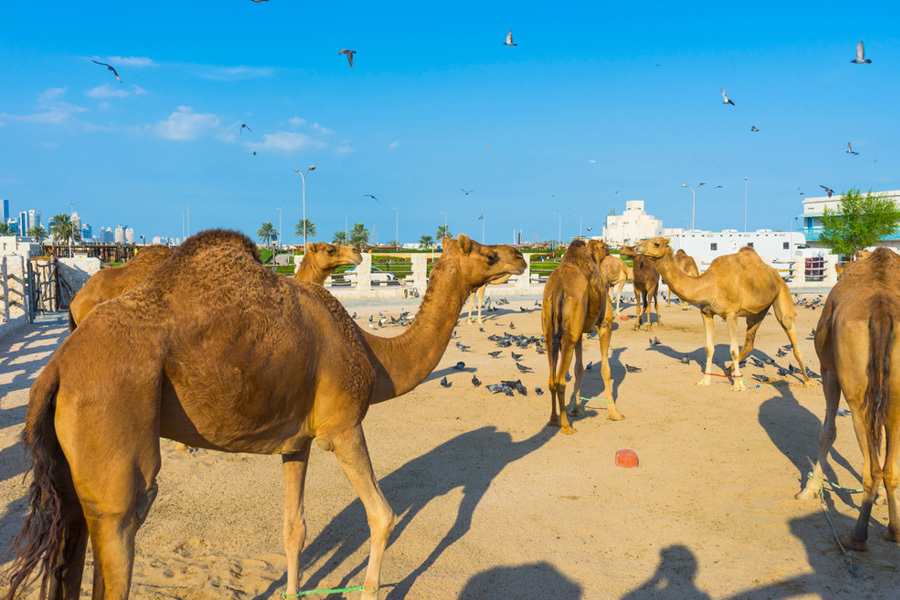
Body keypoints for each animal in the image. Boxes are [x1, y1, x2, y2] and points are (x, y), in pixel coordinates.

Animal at [4, 230, 526, 600]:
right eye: (485, 253)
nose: (521, 256)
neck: (374, 357)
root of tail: (57, 368)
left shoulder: (296, 441)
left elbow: (295, 528)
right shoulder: (342, 426)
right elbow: (383, 515)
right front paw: (371, 588)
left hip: (67, 466)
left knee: (68, 538)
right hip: (114, 423)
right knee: (121, 525)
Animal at [542, 239, 623, 434]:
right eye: (606, 247)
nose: (611, 250)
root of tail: (558, 291)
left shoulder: (579, 333)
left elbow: (579, 368)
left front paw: (577, 408)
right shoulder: (605, 324)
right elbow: (606, 369)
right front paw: (614, 412)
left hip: (550, 330)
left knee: (551, 378)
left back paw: (553, 420)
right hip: (569, 333)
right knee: (560, 380)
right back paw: (566, 426)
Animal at [635, 237, 812, 391]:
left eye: (656, 243)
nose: (637, 246)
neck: (709, 285)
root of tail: (776, 274)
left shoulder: (731, 314)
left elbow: (733, 349)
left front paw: (738, 385)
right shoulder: (706, 312)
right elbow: (709, 348)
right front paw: (705, 380)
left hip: (782, 293)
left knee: (788, 326)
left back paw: (807, 380)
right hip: (757, 311)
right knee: (749, 342)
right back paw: (726, 371)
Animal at [795, 247, 900, 551]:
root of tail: (882, 312)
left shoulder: (828, 371)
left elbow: (827, 432)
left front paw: (809, 489)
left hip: (856, 392)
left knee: (872, 468)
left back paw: (857, 536)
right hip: (894, 396)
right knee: (889, 468)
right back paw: (893, 531)